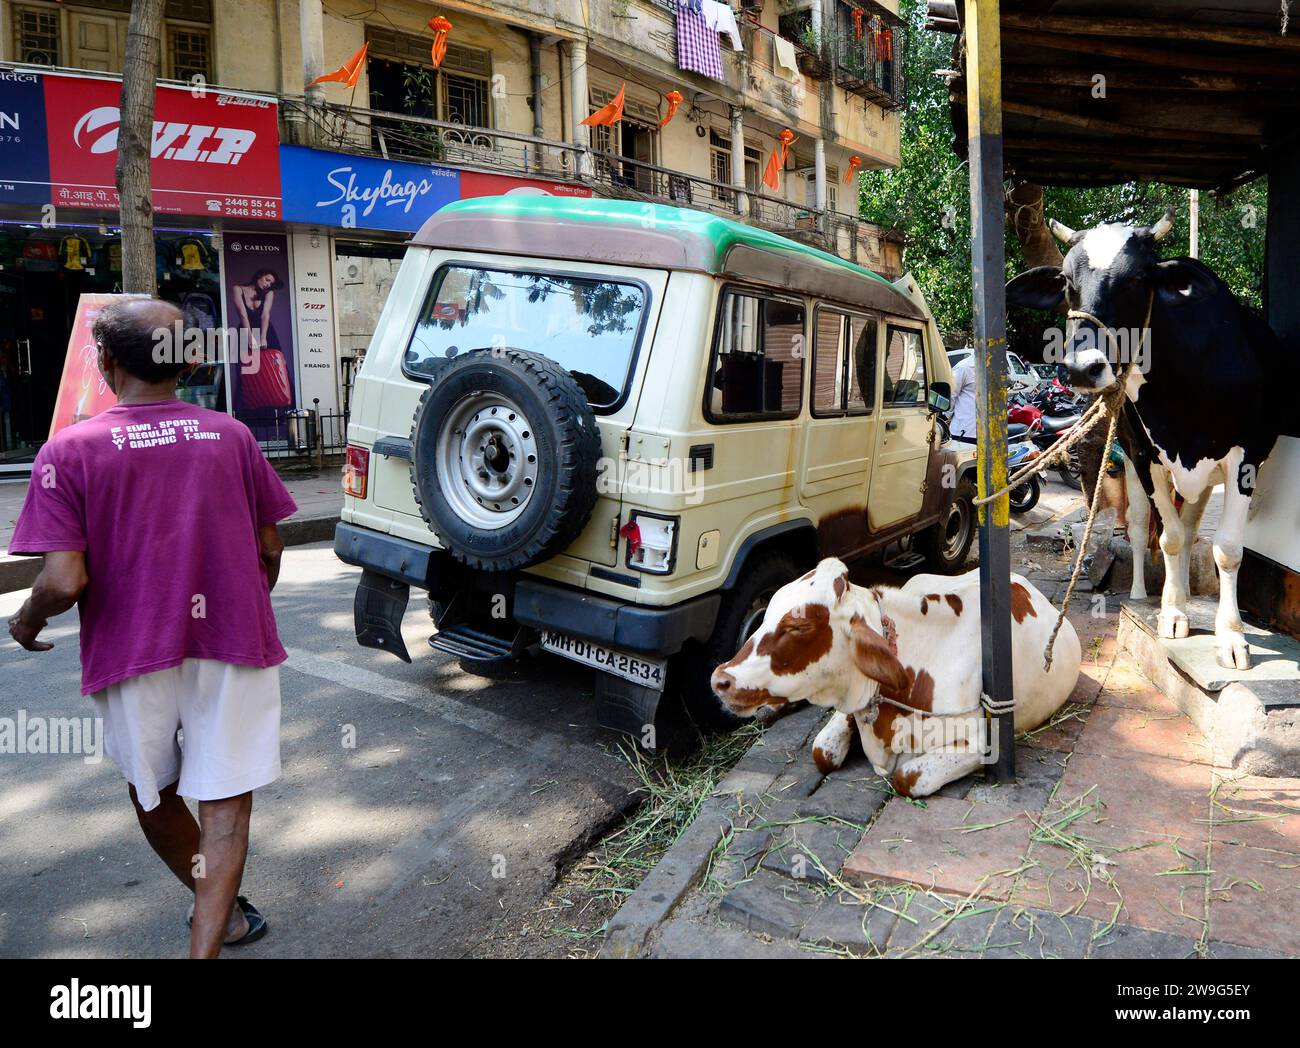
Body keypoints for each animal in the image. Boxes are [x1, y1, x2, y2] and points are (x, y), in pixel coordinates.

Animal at [709, 559, 1080, 798]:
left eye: (799, 626)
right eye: (766, 613)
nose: (719, 679)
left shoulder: (986, 743)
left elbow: (908, 777)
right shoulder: (854, 701)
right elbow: (822, 752)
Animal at [1006, 211, 1288, 669]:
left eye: (1138, 278)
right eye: (1067, 281)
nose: (1081, 369)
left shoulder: (1246, 457)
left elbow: (1227, 548)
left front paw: (1231, 636)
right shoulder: (1143, 455)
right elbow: (1168, 538)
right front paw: (1172, 614)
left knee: (1192, 529)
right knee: (1142, 530)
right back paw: (1144, 594)